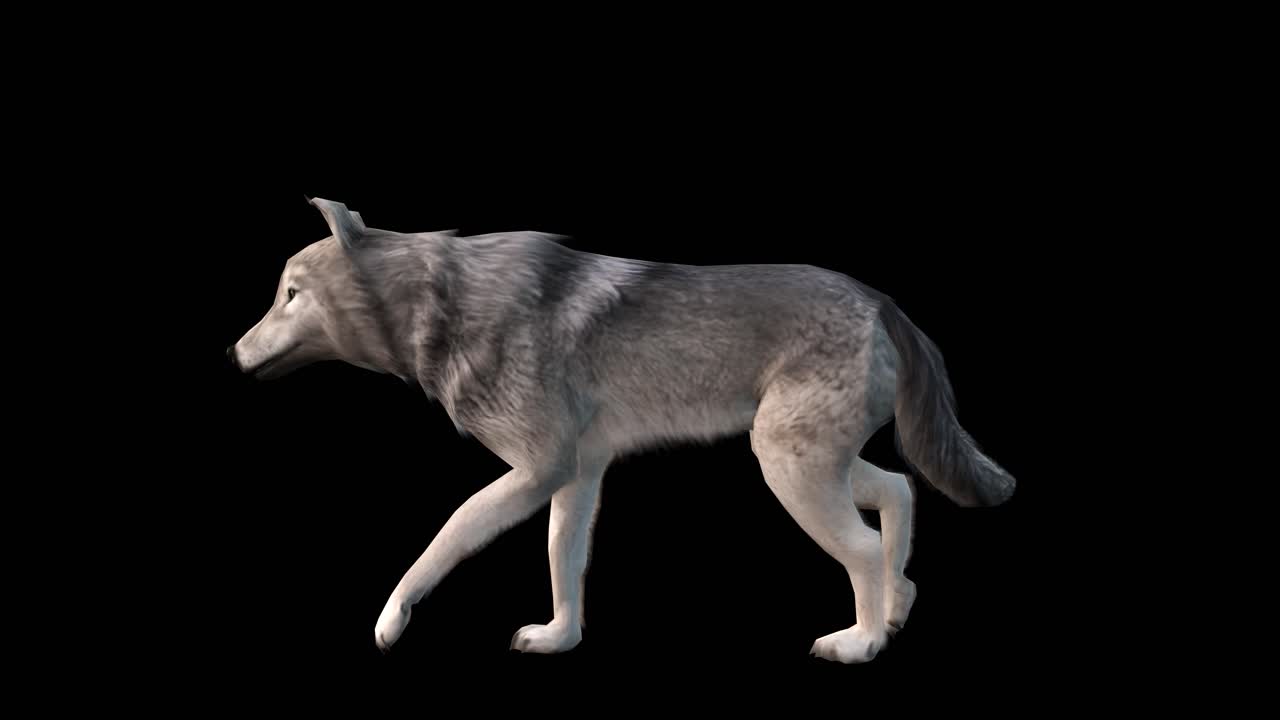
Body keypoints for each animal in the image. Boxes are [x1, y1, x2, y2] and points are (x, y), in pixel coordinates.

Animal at [228, 197, 1016, 664]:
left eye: (289, 294)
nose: (233, 354)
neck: (438, 304)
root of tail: (884, 302)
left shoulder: (539, 469)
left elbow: (446, 536)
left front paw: (391, 620)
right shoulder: (578, 473)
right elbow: (563, 558)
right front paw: (560, 638)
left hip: (789, 469)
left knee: (864, 544)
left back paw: (862, 641)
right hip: (811, 460)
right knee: (900, 492)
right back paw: (899, 606)